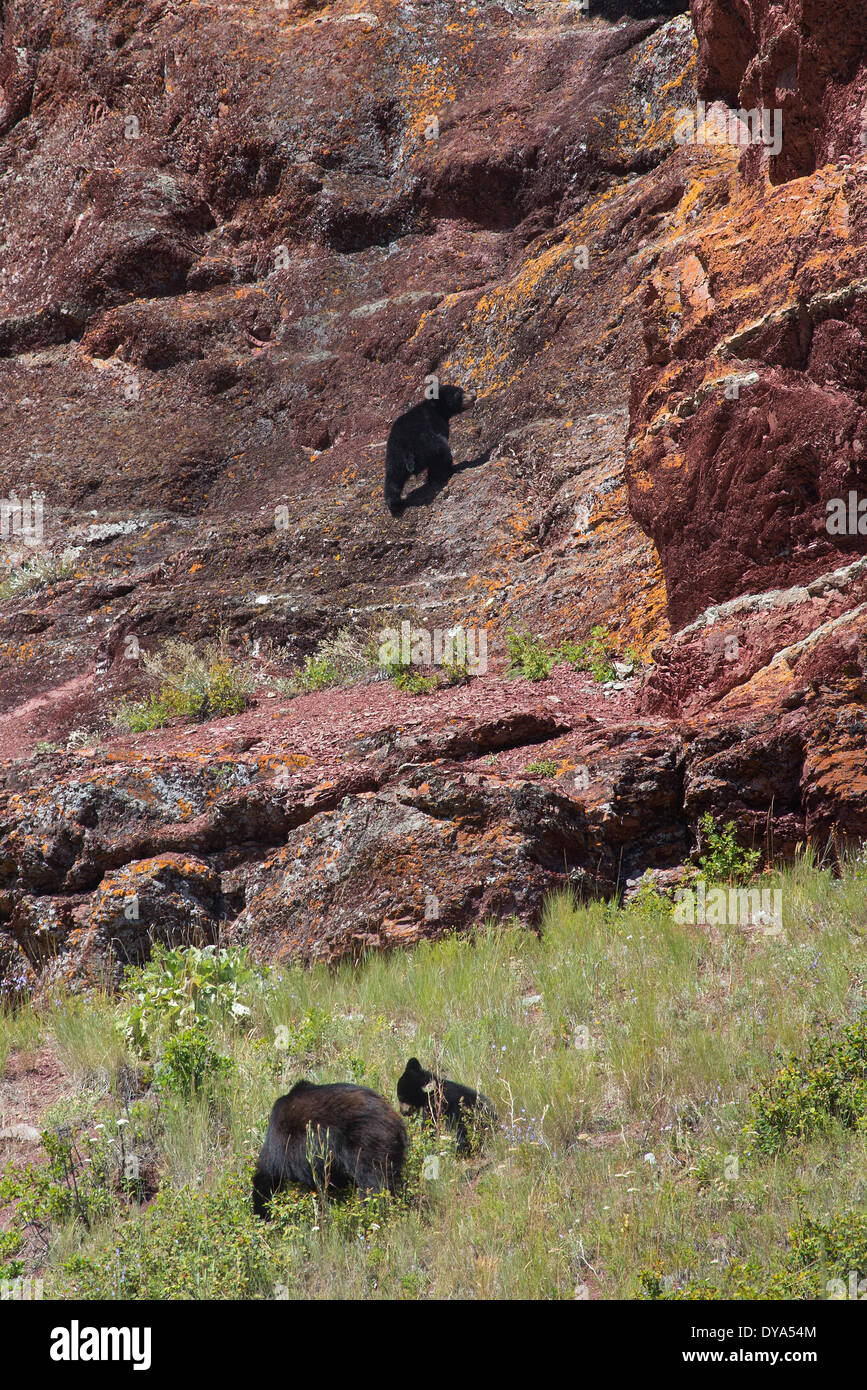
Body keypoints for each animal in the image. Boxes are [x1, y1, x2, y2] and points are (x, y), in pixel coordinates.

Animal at [383, 384, 477, 517]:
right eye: (458, 393)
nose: (474, 395)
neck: (438, 410)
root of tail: (407, 450)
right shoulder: (437, 424)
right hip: (428, 445)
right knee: (443, 454)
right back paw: (450, 471)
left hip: (394, 458)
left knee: (392, 479)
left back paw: (394, 504)